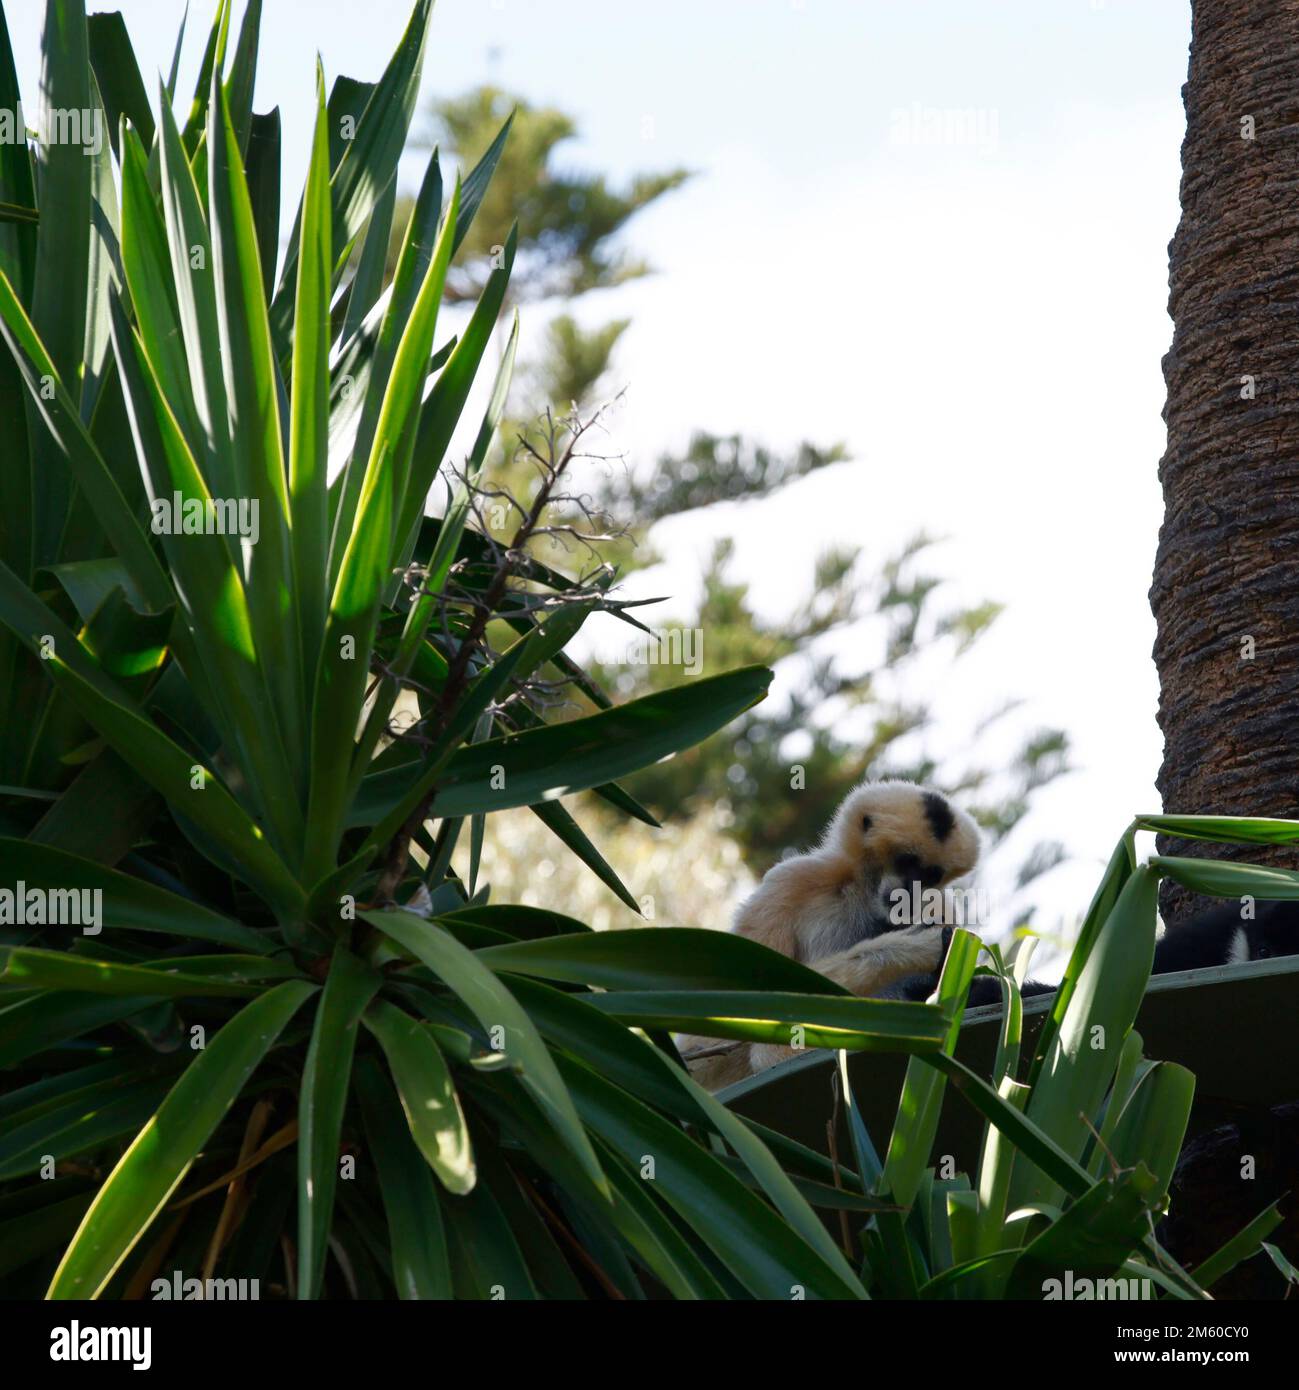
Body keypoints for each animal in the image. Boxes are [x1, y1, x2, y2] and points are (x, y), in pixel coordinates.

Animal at [680, 780, 982, 1090]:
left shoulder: (940, 905)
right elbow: (707, 1047)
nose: (911, 890)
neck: (866, 899)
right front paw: (917, 948)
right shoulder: (792, 880)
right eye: (907, 862)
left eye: (931, 874)